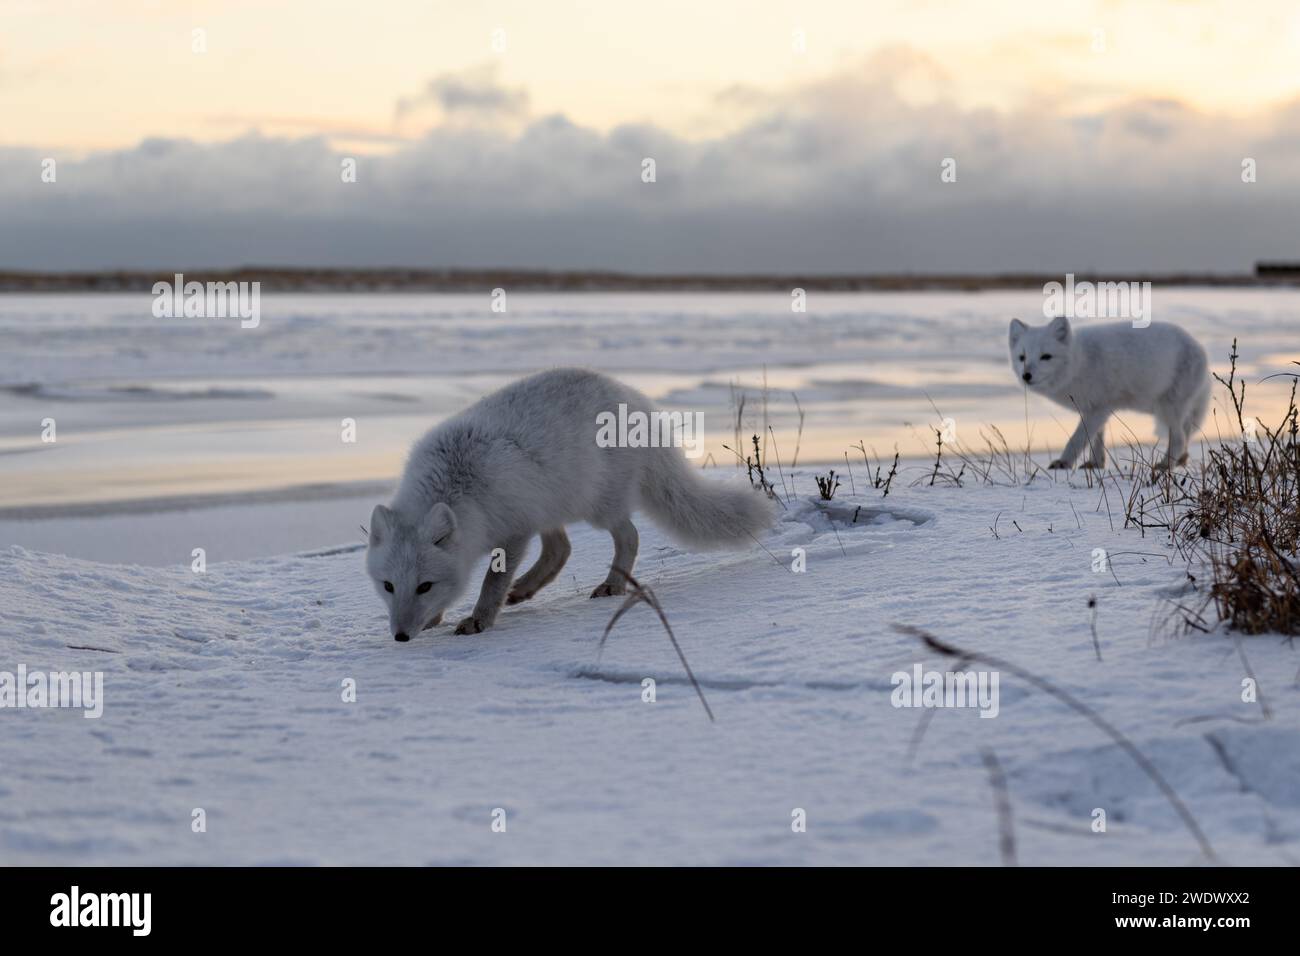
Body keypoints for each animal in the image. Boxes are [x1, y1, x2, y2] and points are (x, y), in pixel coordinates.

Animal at [366, 368, 775, 640]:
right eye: (388, 586)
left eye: (424, 586)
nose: (400, 636)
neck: (458, 487)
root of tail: (637, 399)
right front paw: (437, 618)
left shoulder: (514, 531)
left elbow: (492, 582)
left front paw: (479, 620)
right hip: (552, 505)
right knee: (561, 549)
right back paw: (524, 590)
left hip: (597, 506)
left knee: (629, 536)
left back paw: (612, 585)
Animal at [1008, 315, 1211, 470]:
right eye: (1022, 357)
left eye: (1046, 357)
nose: (1026, 375)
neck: (1079, 361)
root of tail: (1199, 346)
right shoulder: (1094, 409)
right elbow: (1096, 440)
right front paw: (1095, 464)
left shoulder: (1099, 409)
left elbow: (1077, 439)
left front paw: (1063, 463)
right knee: (1186, 432)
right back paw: (1180, 461)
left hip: (1168, 408)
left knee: (1179, 438)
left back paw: (1165, 465)